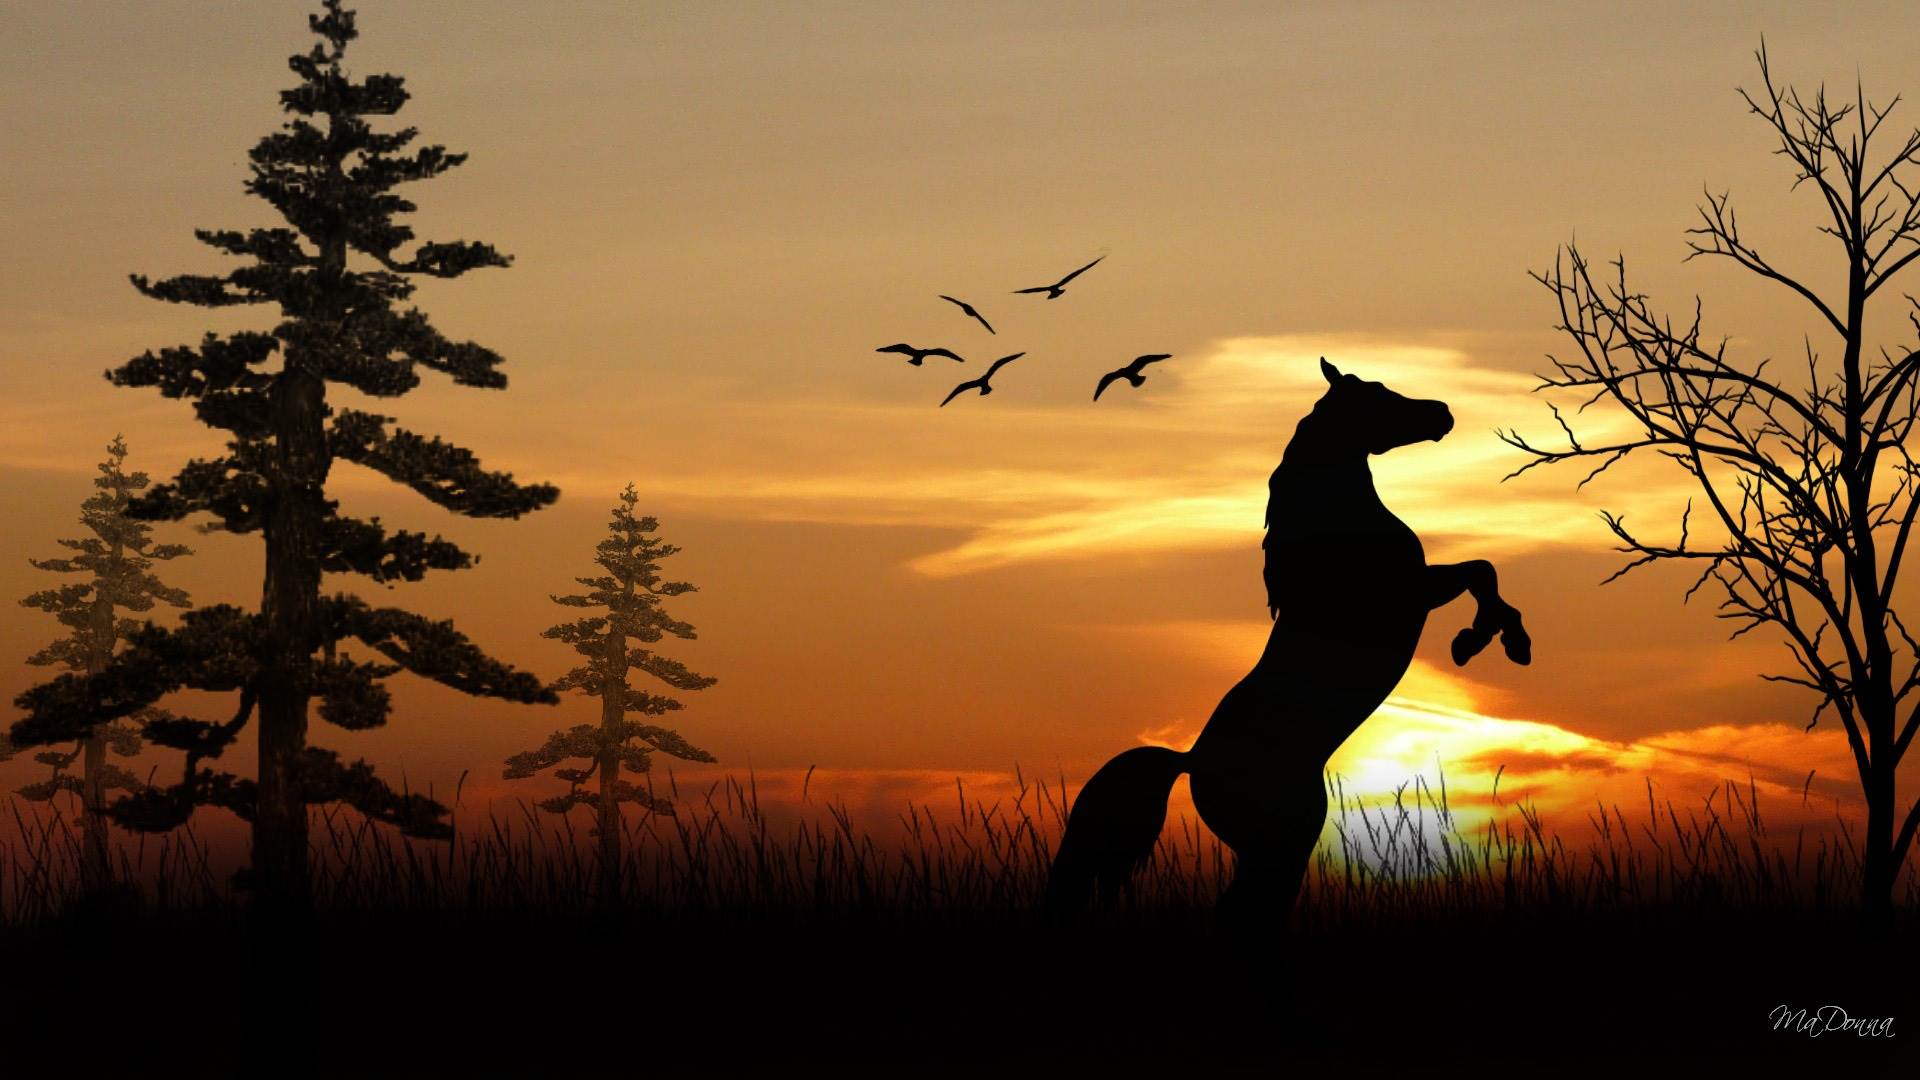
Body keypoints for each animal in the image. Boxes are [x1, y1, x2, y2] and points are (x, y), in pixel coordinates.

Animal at [1045, 357, 1531, 915]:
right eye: (1379, 395)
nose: (1442, 413)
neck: (1335, 529)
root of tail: (1191, 761)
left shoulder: (1419, 591)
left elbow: (1483, 570)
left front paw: (1490, 640)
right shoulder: (1411, 593)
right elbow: (1482, 572)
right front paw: (1491, 641)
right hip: (1282, 842)